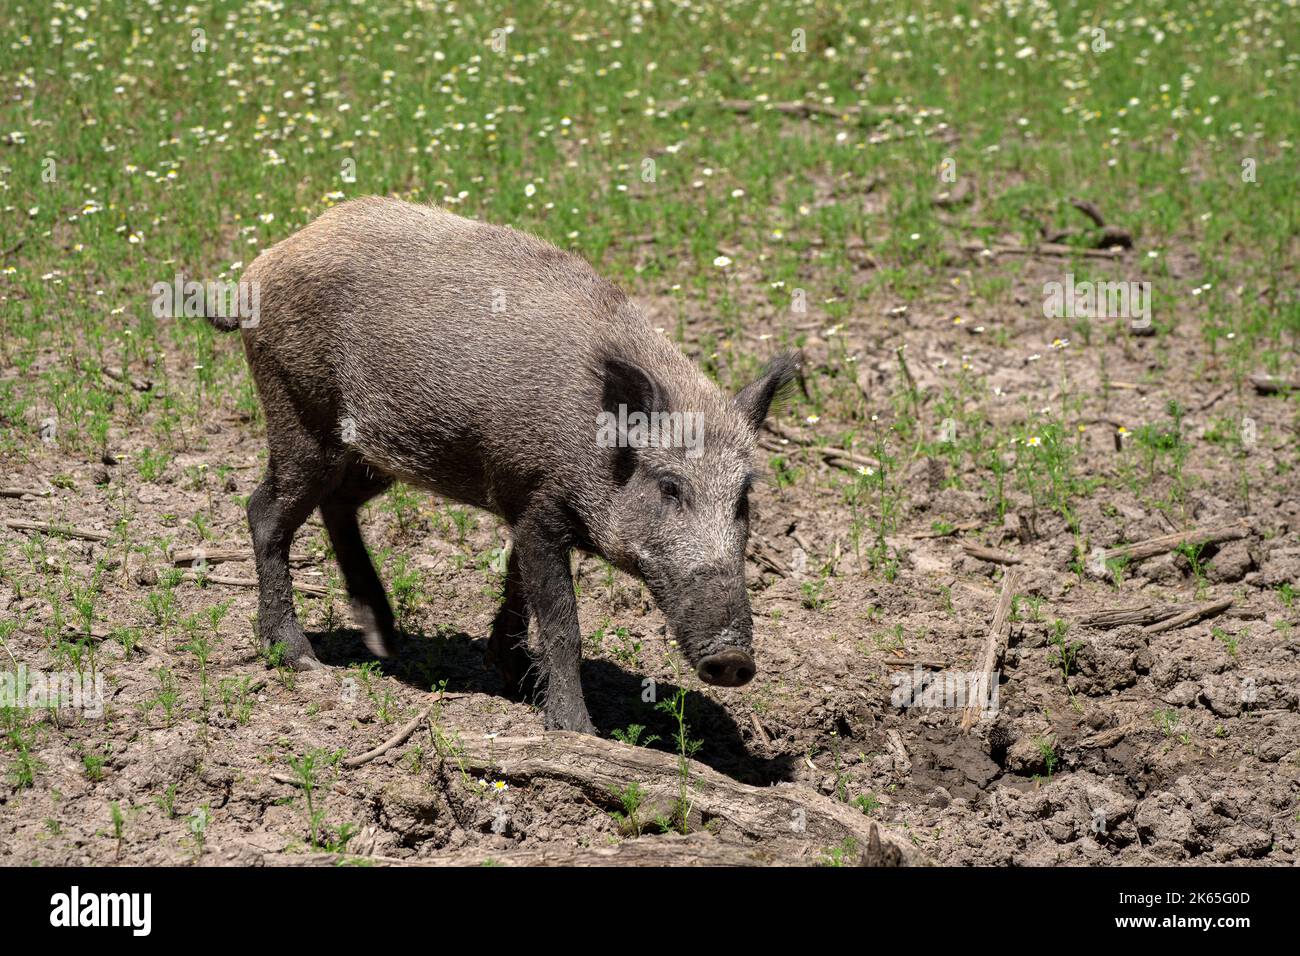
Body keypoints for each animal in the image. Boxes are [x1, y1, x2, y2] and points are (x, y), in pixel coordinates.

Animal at [208, 196, 799, 733]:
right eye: (671, 487)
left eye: (744, 497)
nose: (734, 660)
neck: (595, 447)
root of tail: (260, 268)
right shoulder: (540, 503)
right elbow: (562, 623)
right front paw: (575, 731)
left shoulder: (522, 499)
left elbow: (520, 588)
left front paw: (512, 676)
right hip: (298, 410)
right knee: (263, 511)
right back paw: (303, 658)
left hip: (369, 454)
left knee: (335, 505)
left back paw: (385, 642)